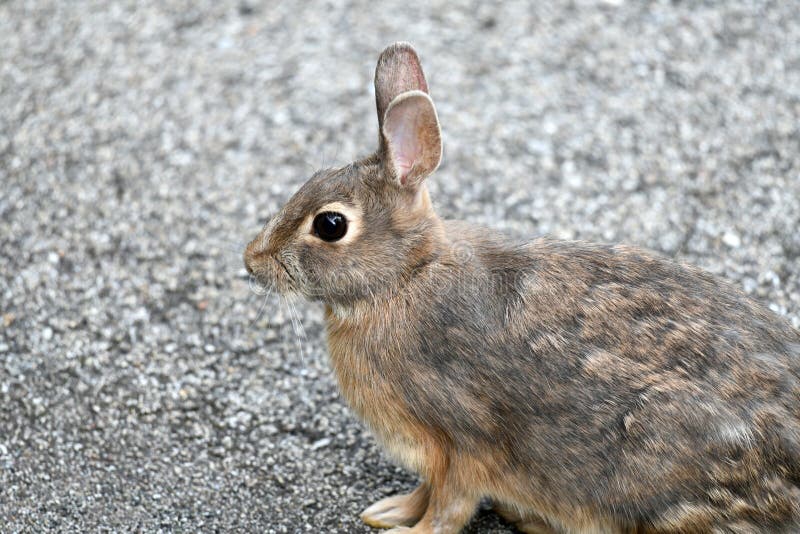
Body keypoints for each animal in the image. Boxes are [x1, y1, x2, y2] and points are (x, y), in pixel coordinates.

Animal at [243, 42, 800, 533]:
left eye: (330, 224)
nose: (251, 260)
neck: (405, 277)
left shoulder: (462, 441)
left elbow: (449, 505)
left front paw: (408, 531)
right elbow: (425, 491)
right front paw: (388, 512)